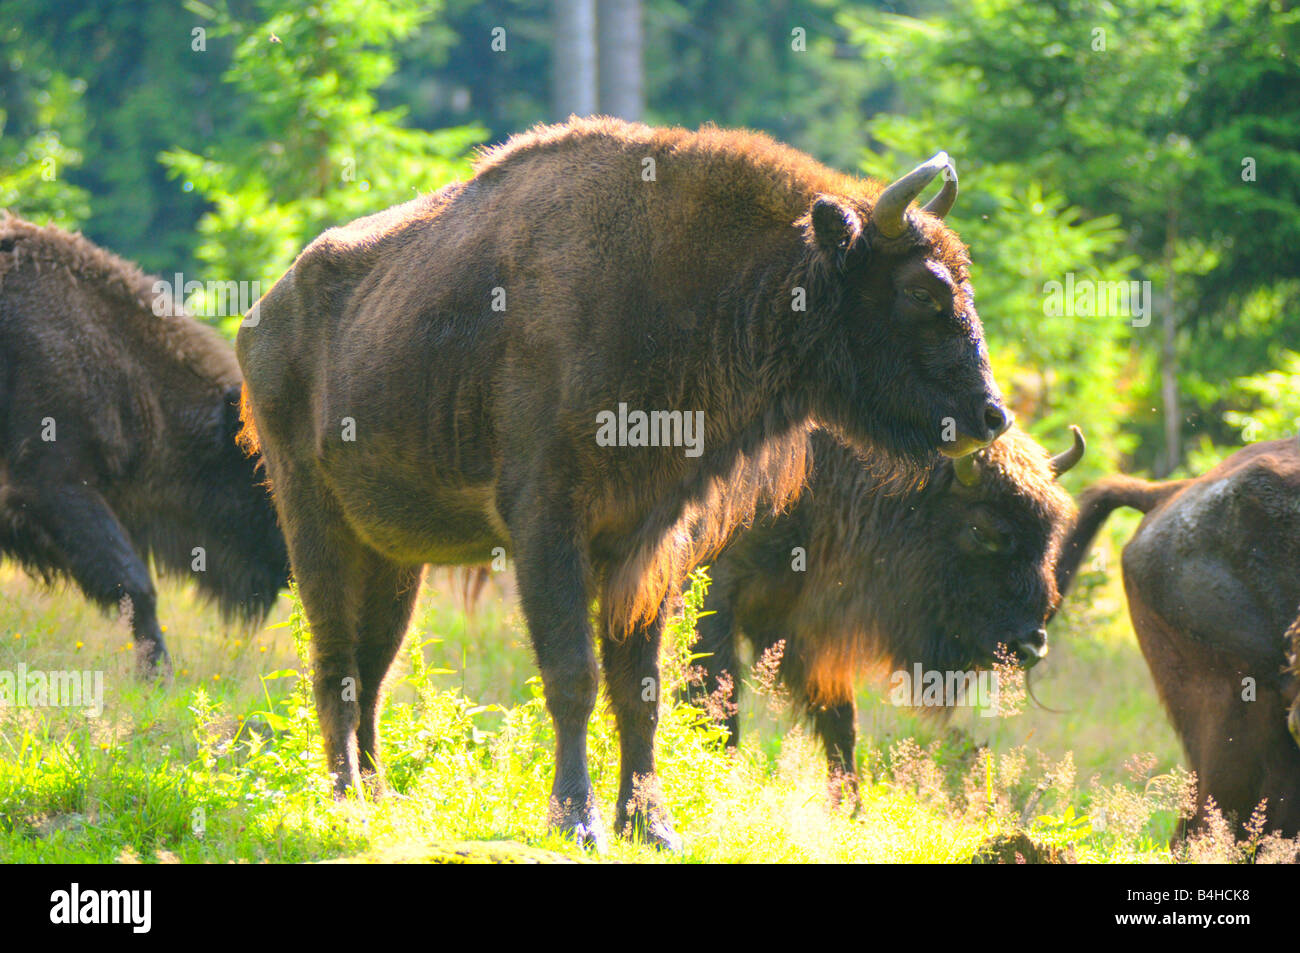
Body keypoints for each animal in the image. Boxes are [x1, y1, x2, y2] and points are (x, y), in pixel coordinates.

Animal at [235, 117, 1012, 849]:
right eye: (922, 290)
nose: (991, 414)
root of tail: (259, 317)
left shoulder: (648, 542)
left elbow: (641, 690)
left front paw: (652, 824)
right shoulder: (548, 527)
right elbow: (573, 676)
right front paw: (576, 821)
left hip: (395, 560)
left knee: (371, 670)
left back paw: (383, 800)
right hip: (315, 523)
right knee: (335, 664)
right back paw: (347, 802)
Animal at [688, 425, 1083, 790]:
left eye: (1048, 537)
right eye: (981, 530)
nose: (1029, 646)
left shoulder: (800, 626)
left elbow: (841, 723)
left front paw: (850, 809)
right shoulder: (715, 599)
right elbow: (719, 710)